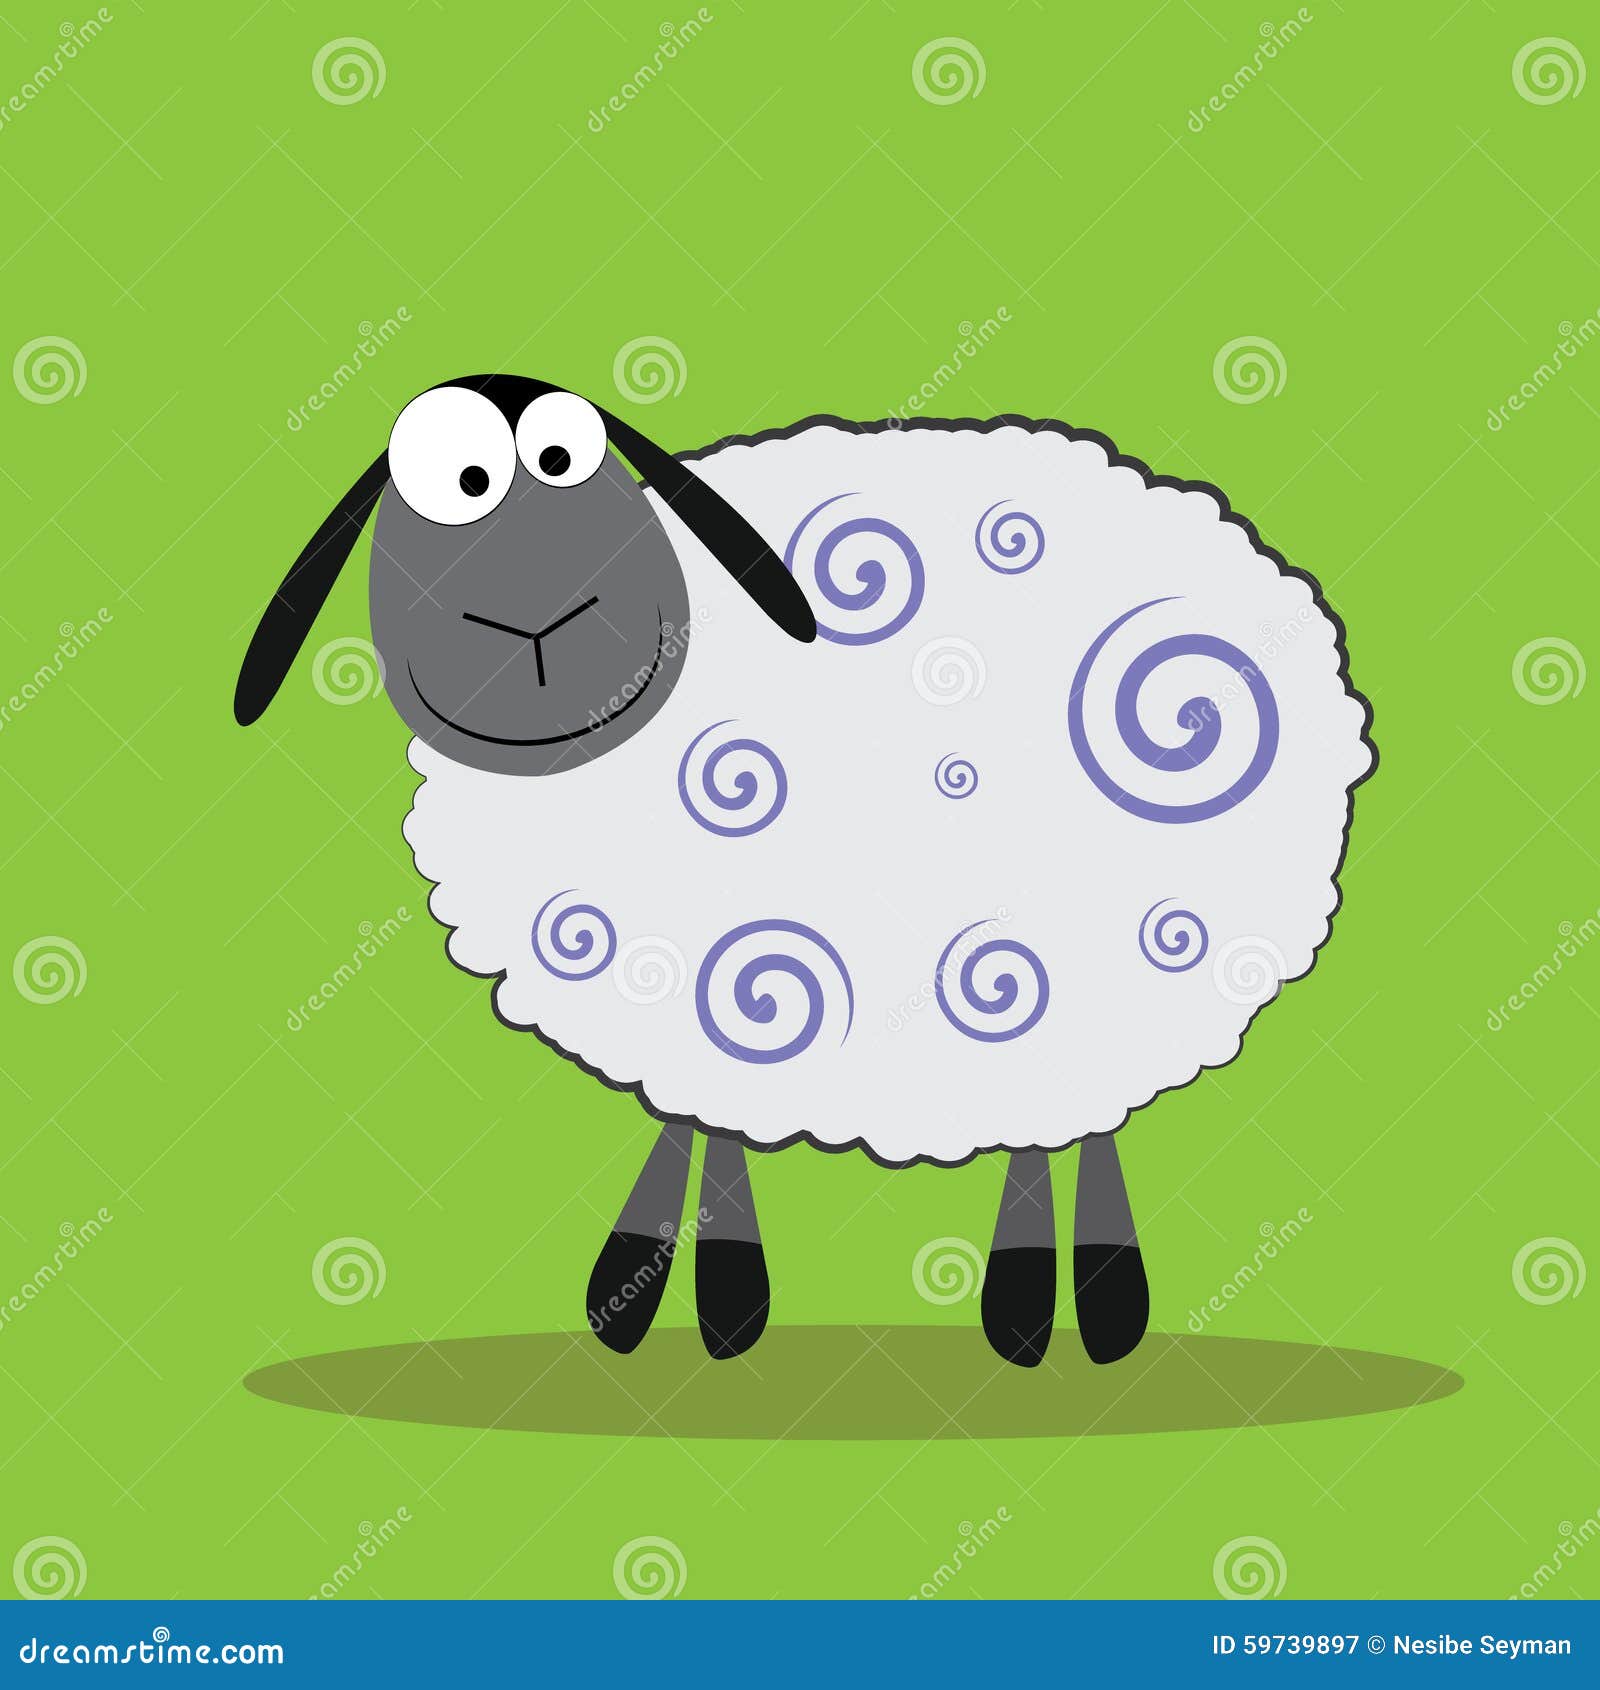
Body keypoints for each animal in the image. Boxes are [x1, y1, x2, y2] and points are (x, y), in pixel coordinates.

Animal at [235, 374, 1374, 1371]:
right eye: (433, 490)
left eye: (559, 462)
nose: (521, 628)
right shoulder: (673, 999)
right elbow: (694, 1124)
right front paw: (680, 1300)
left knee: (1074, 1126)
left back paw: (1056, 1309)